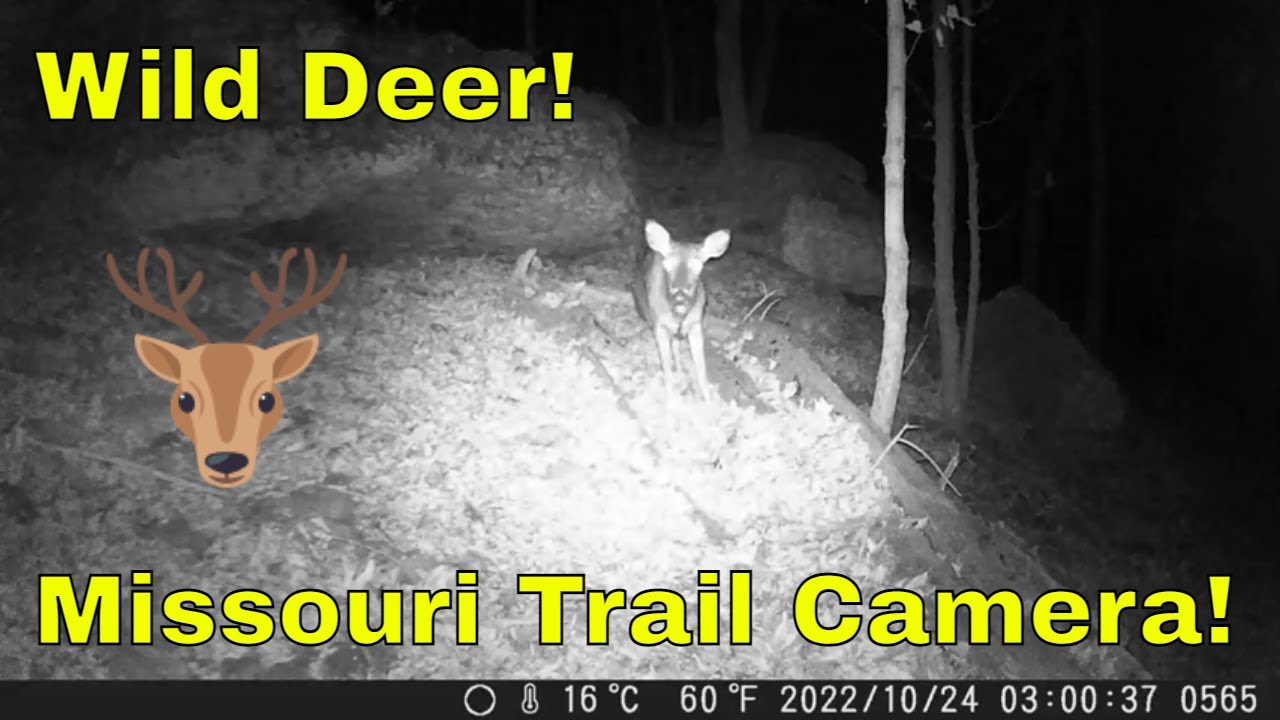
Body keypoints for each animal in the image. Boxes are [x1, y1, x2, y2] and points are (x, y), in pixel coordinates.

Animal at [632, 218, 732, 402]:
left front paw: (709, 400)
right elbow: (666, 366)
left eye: (699, 265)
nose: (679, 296)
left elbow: (701, 368)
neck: (678, 315)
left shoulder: (695, 324)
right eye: (667, 265)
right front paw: (671, 400)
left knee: (677, 345)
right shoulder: (659, 325)